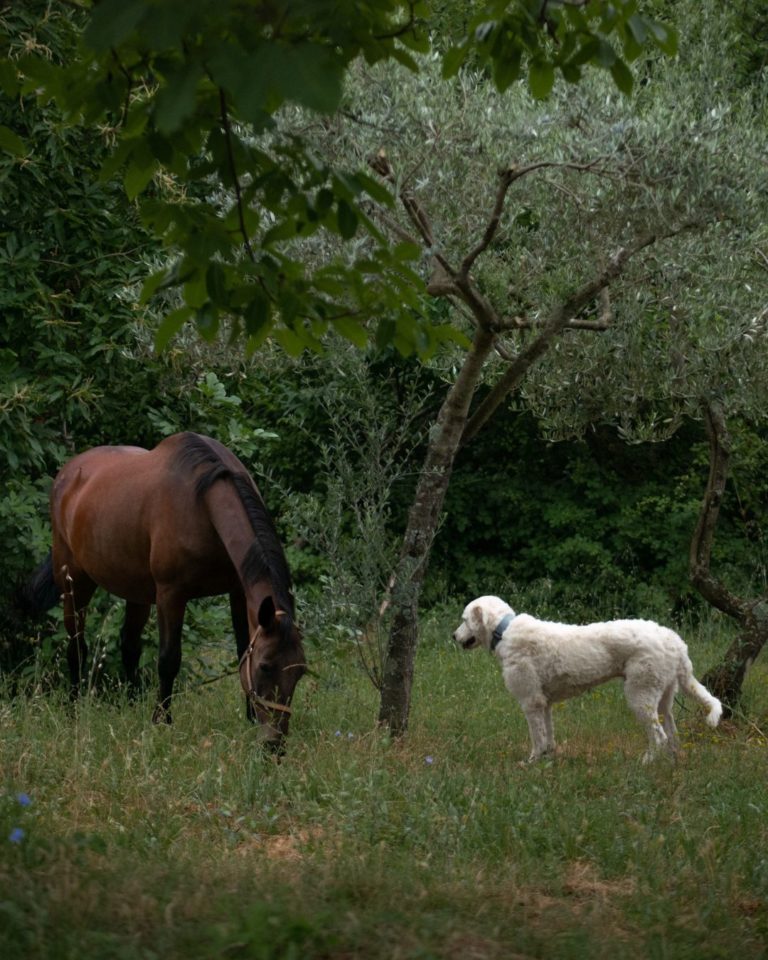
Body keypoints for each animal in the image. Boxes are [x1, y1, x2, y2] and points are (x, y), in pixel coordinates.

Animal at [26, 432, 306, 751]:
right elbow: (169, 660)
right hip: (75, 583)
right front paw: (162, 721)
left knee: (129, 644)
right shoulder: (171, 595)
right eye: (266, 667)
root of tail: (67, 473)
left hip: (135, 590)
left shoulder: (238, 592)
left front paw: (247, 718)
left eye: (299, 671)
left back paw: (132, 705)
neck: (202, 504)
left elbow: (240, 649)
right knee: (77, 646)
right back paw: (73, 710)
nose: (275, 744)